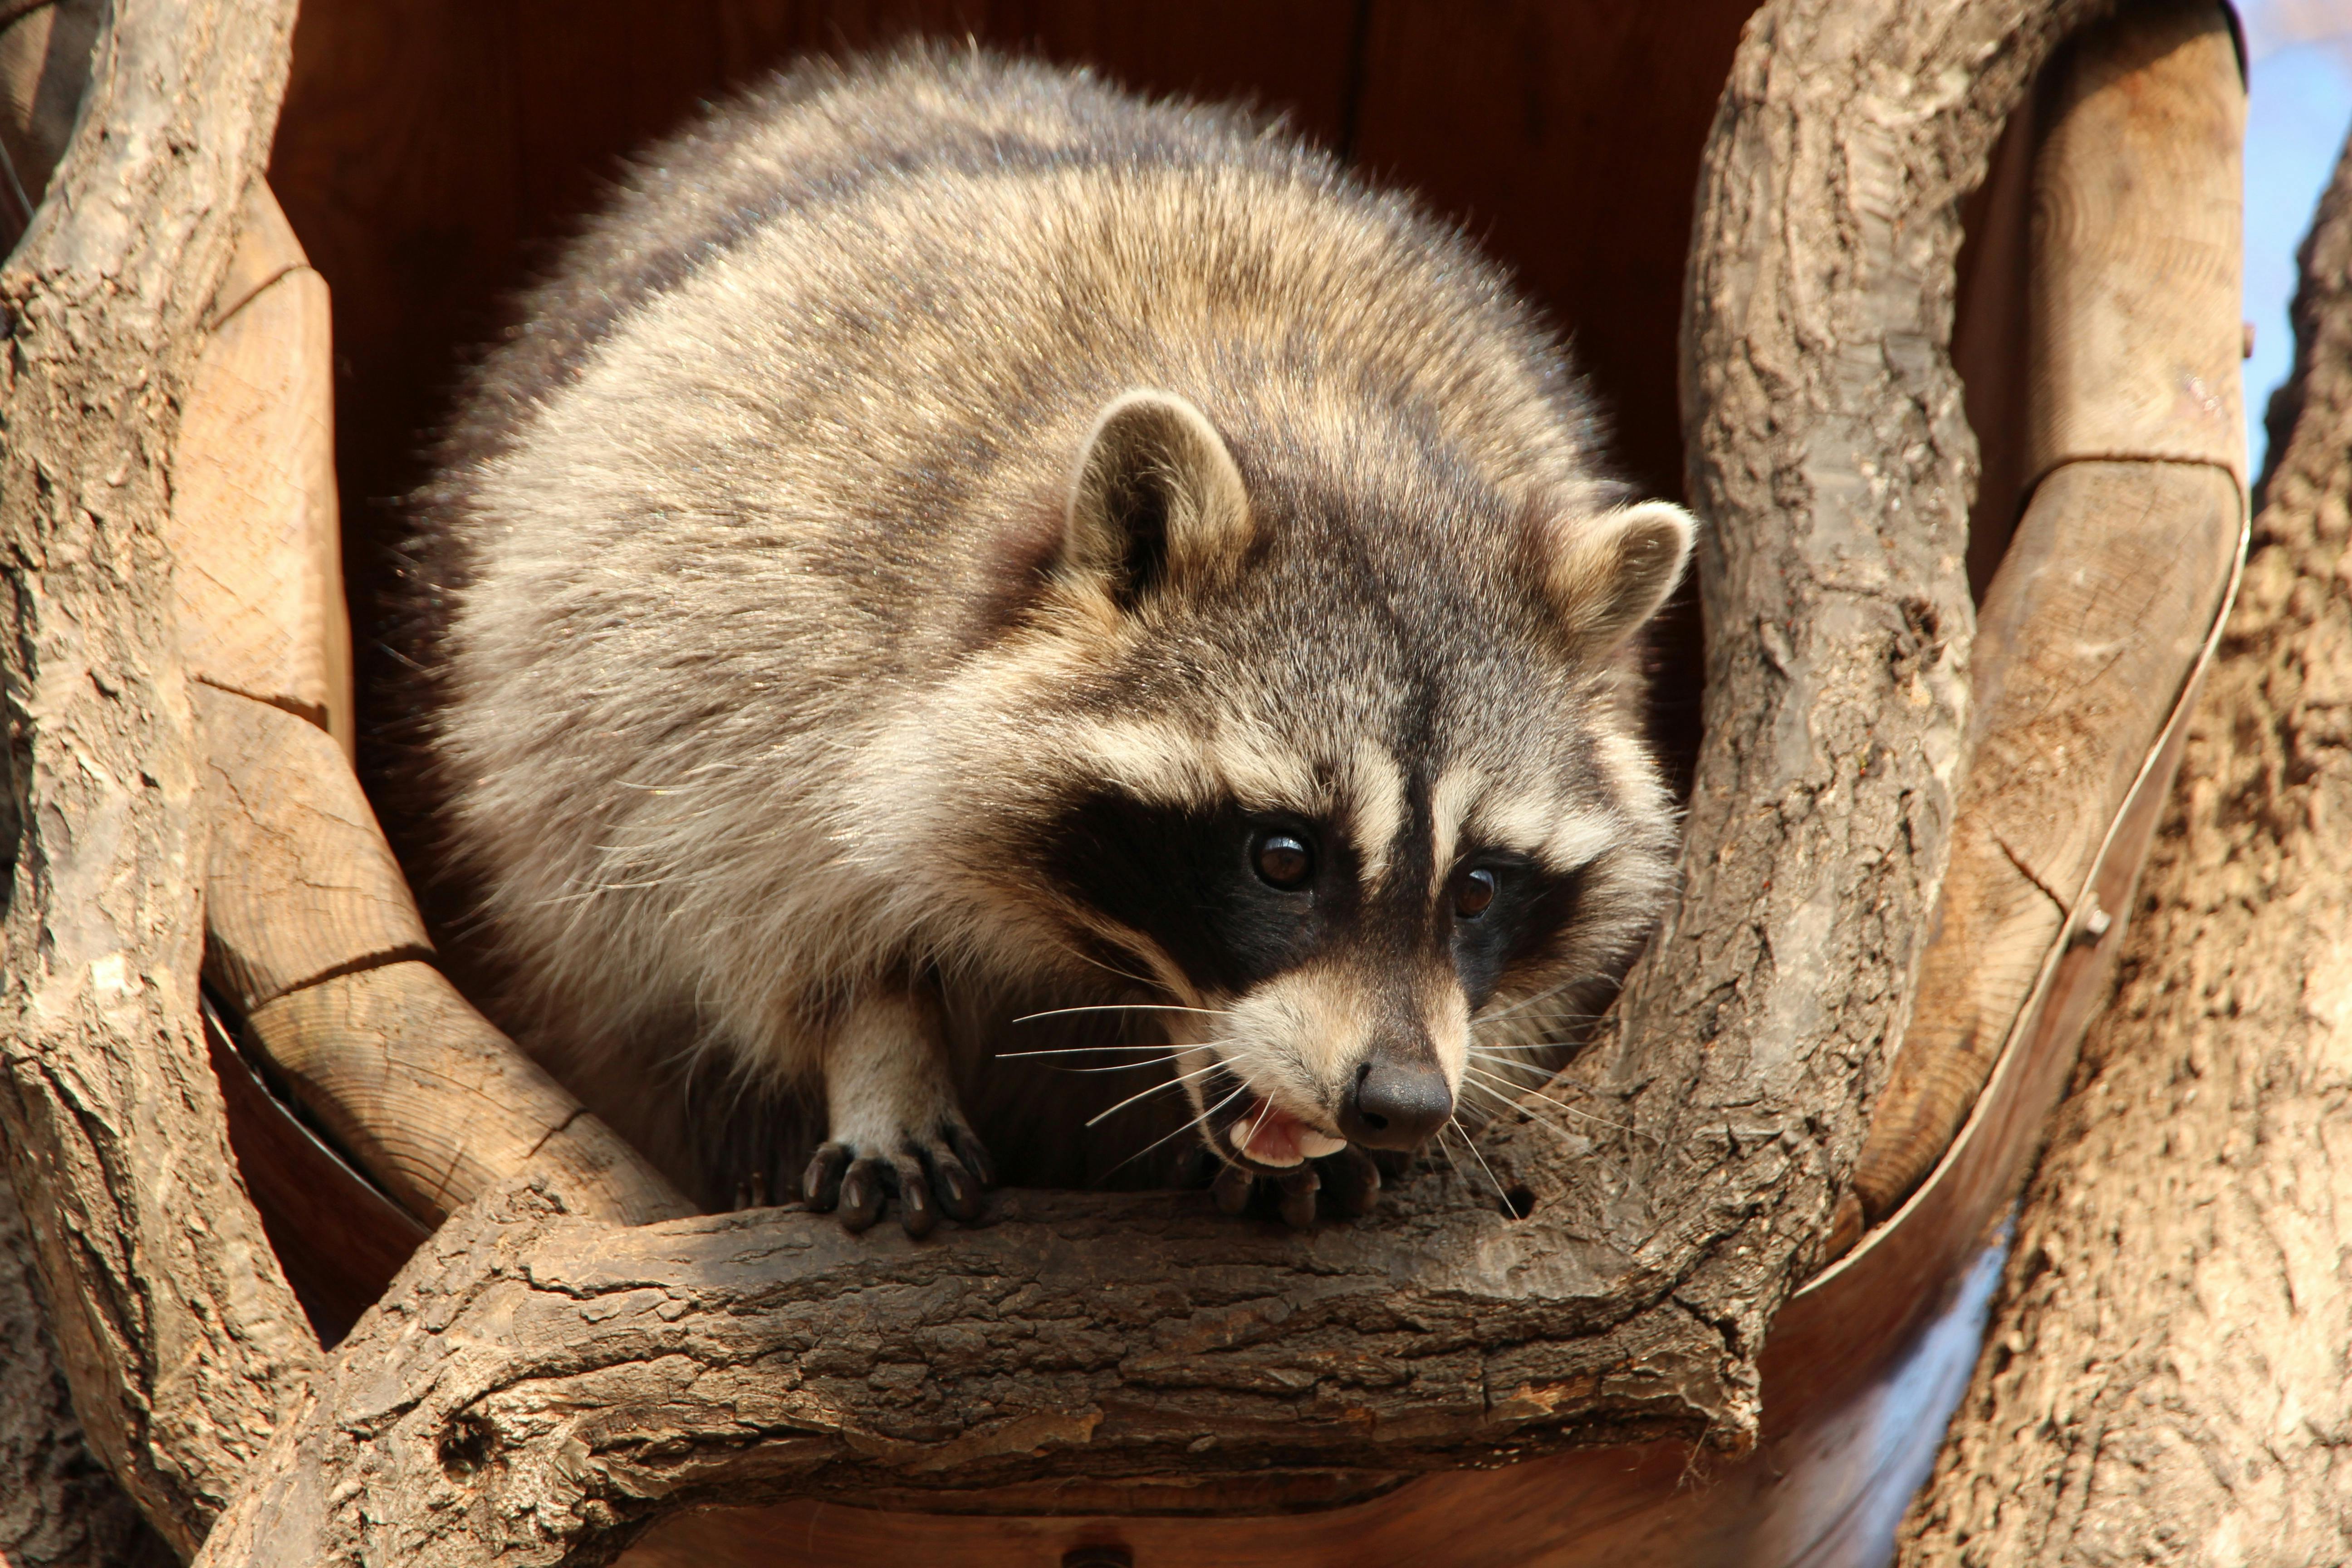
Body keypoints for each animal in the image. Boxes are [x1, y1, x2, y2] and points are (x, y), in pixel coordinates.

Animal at [409, 47, 1692, 1236]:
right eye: (1282, 856)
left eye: (1478, 886)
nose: (1401, 1103)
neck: (1329, 434)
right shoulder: (730, 621)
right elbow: (748, 898)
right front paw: (877, 1049)